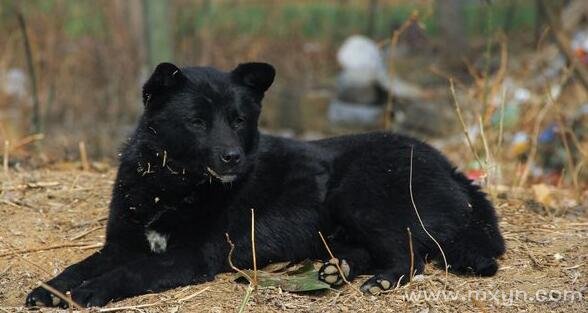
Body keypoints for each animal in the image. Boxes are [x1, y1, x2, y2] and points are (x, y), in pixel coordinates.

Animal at [26, 62, 506, 306]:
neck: (170, 185)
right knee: (376, 250)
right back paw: (335, 270)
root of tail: (451, 169)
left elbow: (127, 273)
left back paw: (381, 281)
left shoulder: (189, 257)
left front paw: (88, 293)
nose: (232, 158)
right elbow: (78, 267)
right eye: (197, 122)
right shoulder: (119, 245)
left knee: (412, 254)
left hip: (358, 195)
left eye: (238, 120)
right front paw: (50, 290)